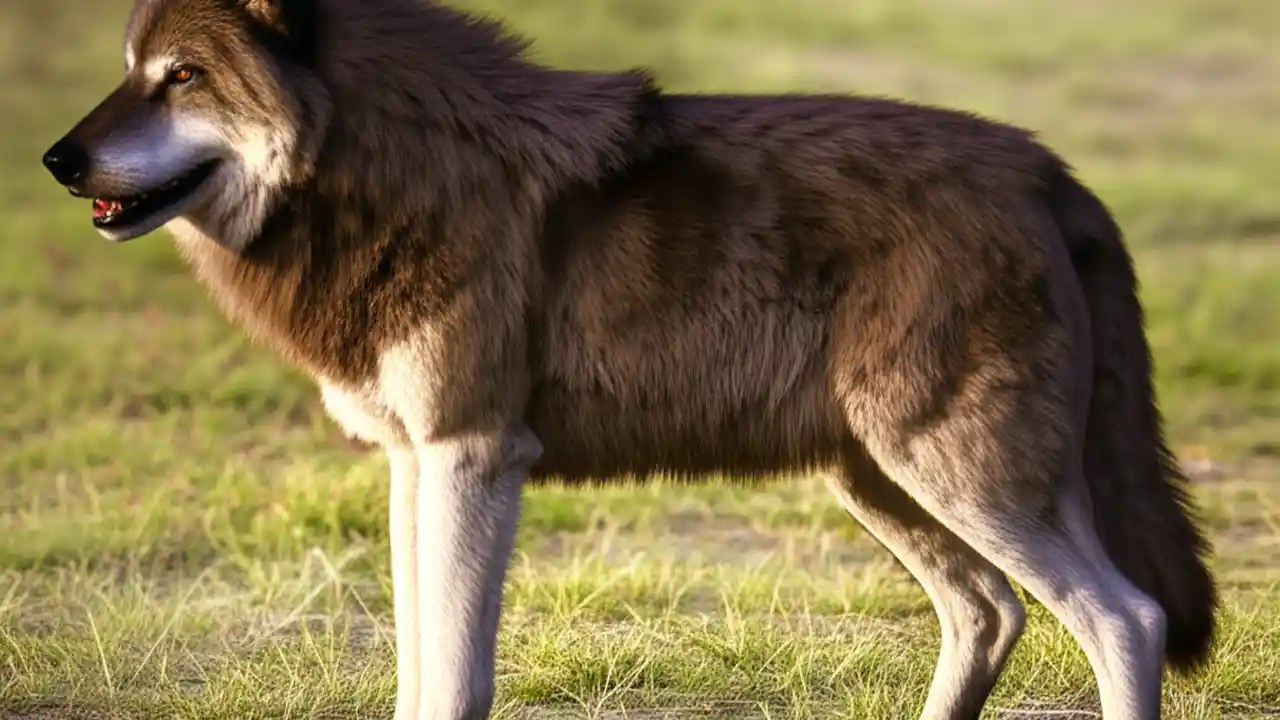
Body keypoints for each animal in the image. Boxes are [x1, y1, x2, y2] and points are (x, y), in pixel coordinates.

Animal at [43, 0, 1216, 718]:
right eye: (129, 73)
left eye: (185, 77)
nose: (56, 158)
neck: (394, 173)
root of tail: (1048, 172)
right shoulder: (413, 464)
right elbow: (416, 666)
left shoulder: (474, 456)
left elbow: (454, 680)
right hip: (885, 484)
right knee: (990, 612)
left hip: (959, 480)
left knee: (1125, 619)